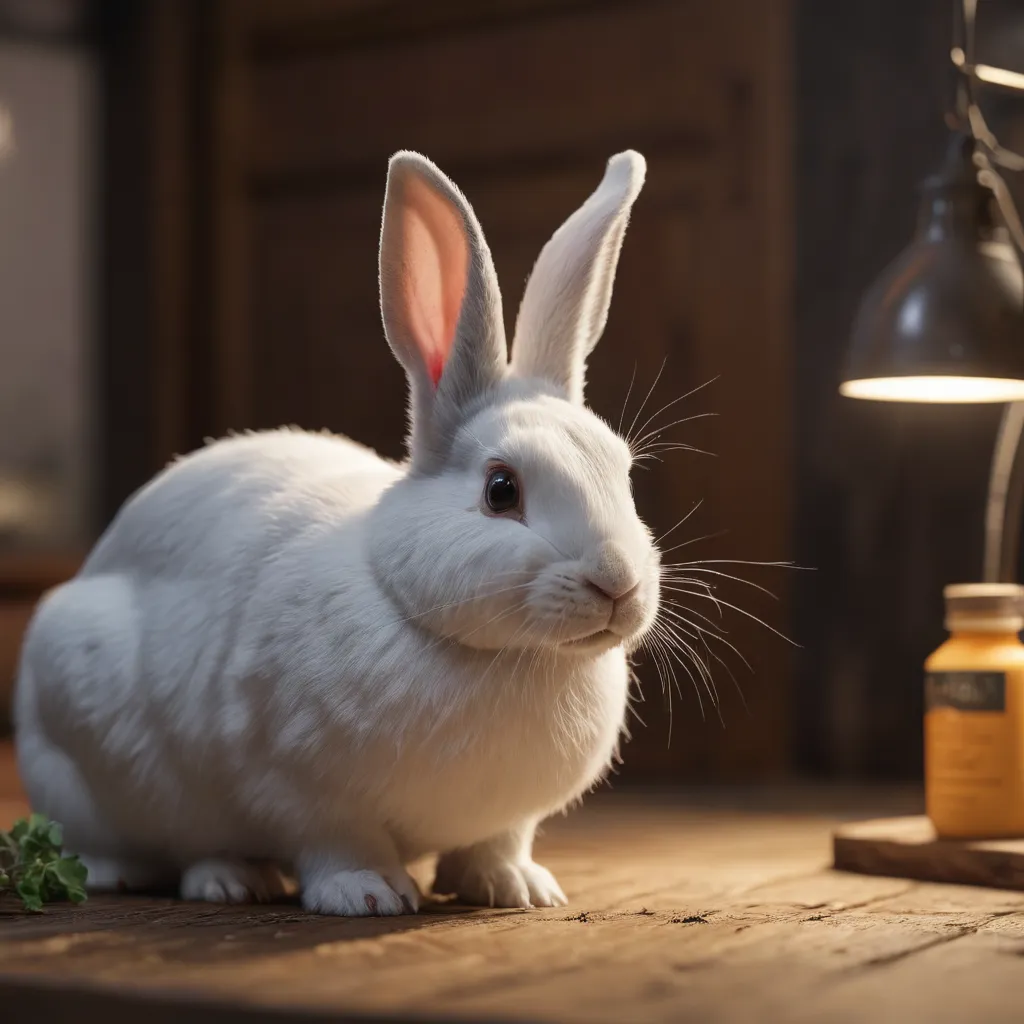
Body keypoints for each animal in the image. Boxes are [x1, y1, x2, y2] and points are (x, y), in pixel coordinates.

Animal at [13, 147, 660, 916]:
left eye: (623, 472)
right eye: (501, 490)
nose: (617, 583)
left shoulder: (509, 817)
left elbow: (497, 843)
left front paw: (518, 889)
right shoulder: (296, 781)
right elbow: (338, 840)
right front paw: (369, 895)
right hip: (86, 757)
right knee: (146, 846)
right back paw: (222, 881)